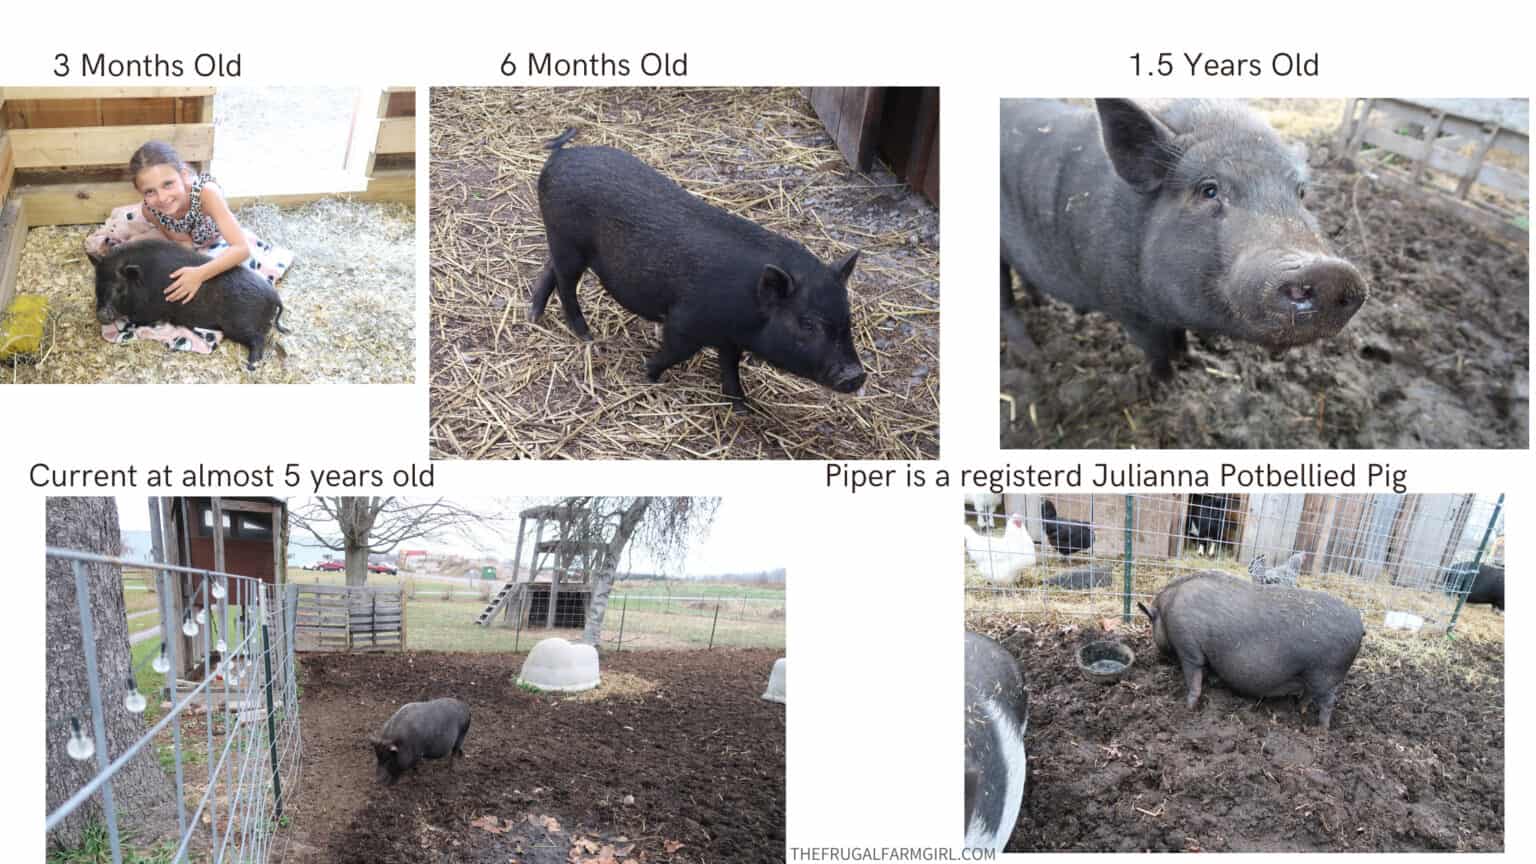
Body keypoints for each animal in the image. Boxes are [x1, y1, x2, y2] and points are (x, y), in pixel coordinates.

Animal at [94, 239, 288, 370]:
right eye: (97, 284)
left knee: (260, 339)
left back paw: (251, 365)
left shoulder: (151, 311)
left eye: (119, 288)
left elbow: (139, 320)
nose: (102, 314)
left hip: (241, 325)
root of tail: (274, 296)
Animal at [531, 128, 868, 411]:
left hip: (563, 244)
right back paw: (586, 336)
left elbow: (730, 369)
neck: (747, 305)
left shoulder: (730, 338)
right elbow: (674, 352)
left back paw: (535, 317)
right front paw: (648, 376)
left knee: (550, 270)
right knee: (566, 285)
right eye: (807, 323)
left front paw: (744, 409)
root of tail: (560, 155)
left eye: (847, 319)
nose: (856, 375)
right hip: (567, 242)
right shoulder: (685, 321)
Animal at [1001, 99, 1368, 379]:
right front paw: (1166, 383)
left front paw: (1193, 361)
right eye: (1209, 190)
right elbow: (1157, 349)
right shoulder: (1126, 307)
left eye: (1301, 193)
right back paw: (1032, 357)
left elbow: (1180, 337)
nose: (1330, 272)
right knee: (1006, 304)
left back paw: (1040, 304)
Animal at [1137, 571, 1363, 730]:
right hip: (1313, 675)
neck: (1166, 610)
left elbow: (1194, 679)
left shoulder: (1188, 647)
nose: (1157, 657)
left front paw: (1188, 708)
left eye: (1150, 623)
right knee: (1309, 695)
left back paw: (1321, 730)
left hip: (1327, 673)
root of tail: (1360, 624)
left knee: (1328, 702)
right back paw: (1300, 710)